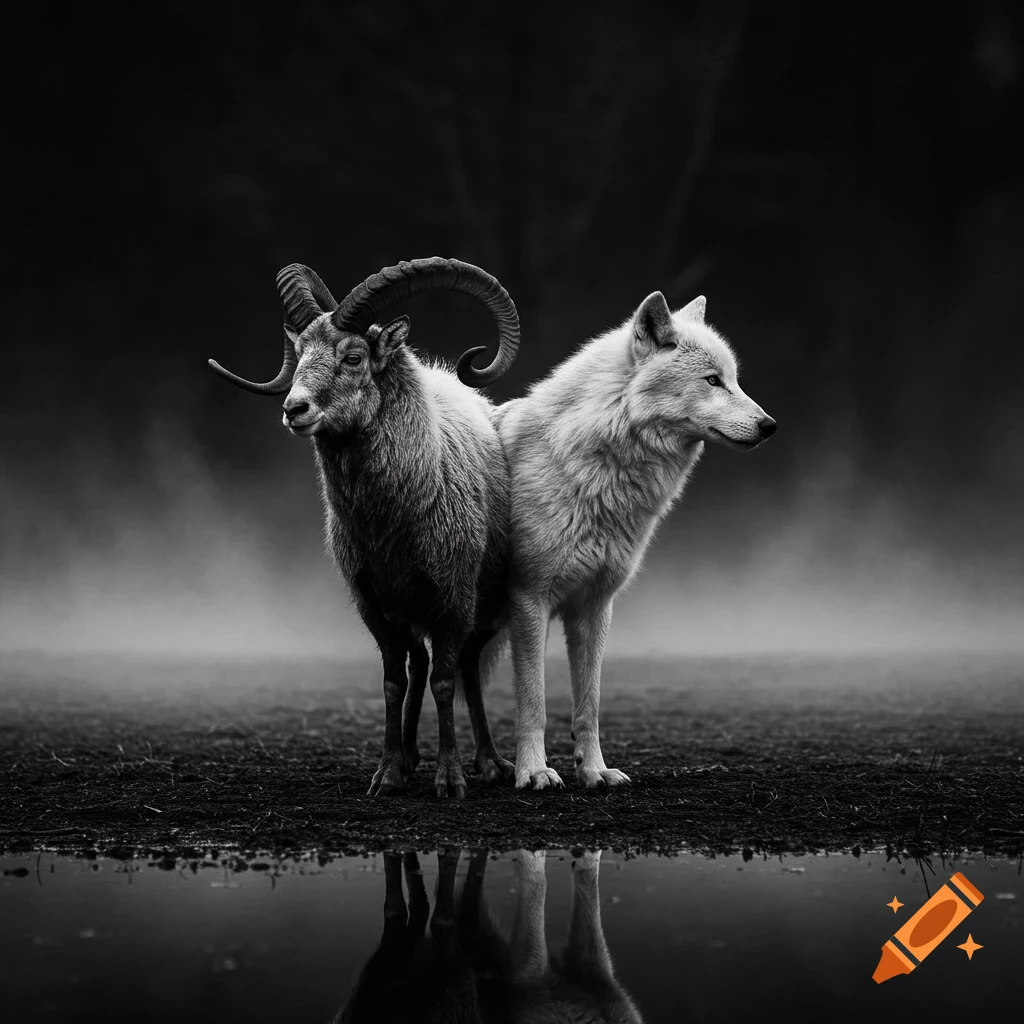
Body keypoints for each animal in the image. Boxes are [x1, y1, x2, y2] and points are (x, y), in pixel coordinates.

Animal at [208, 258, 519, 798]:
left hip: (478, 604)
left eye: (353, 356)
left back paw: (488, 761)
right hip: (411, 609)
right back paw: (413, 755)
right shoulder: (374, 602)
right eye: (300, 352)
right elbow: (394, 681)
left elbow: (445, 681)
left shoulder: (453, 595)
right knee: (419, 664)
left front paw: (450, 778)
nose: (294, 409)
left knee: (465, 667)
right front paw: (388, 773)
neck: (393, 521)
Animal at [491, 291, 776, 789]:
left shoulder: (596, 606)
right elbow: (534, 702)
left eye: (735, 381)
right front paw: (535, 772)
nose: (770, 425)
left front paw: (594, 771)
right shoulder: (530, 600)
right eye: (713, 380)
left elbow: (589, 704)